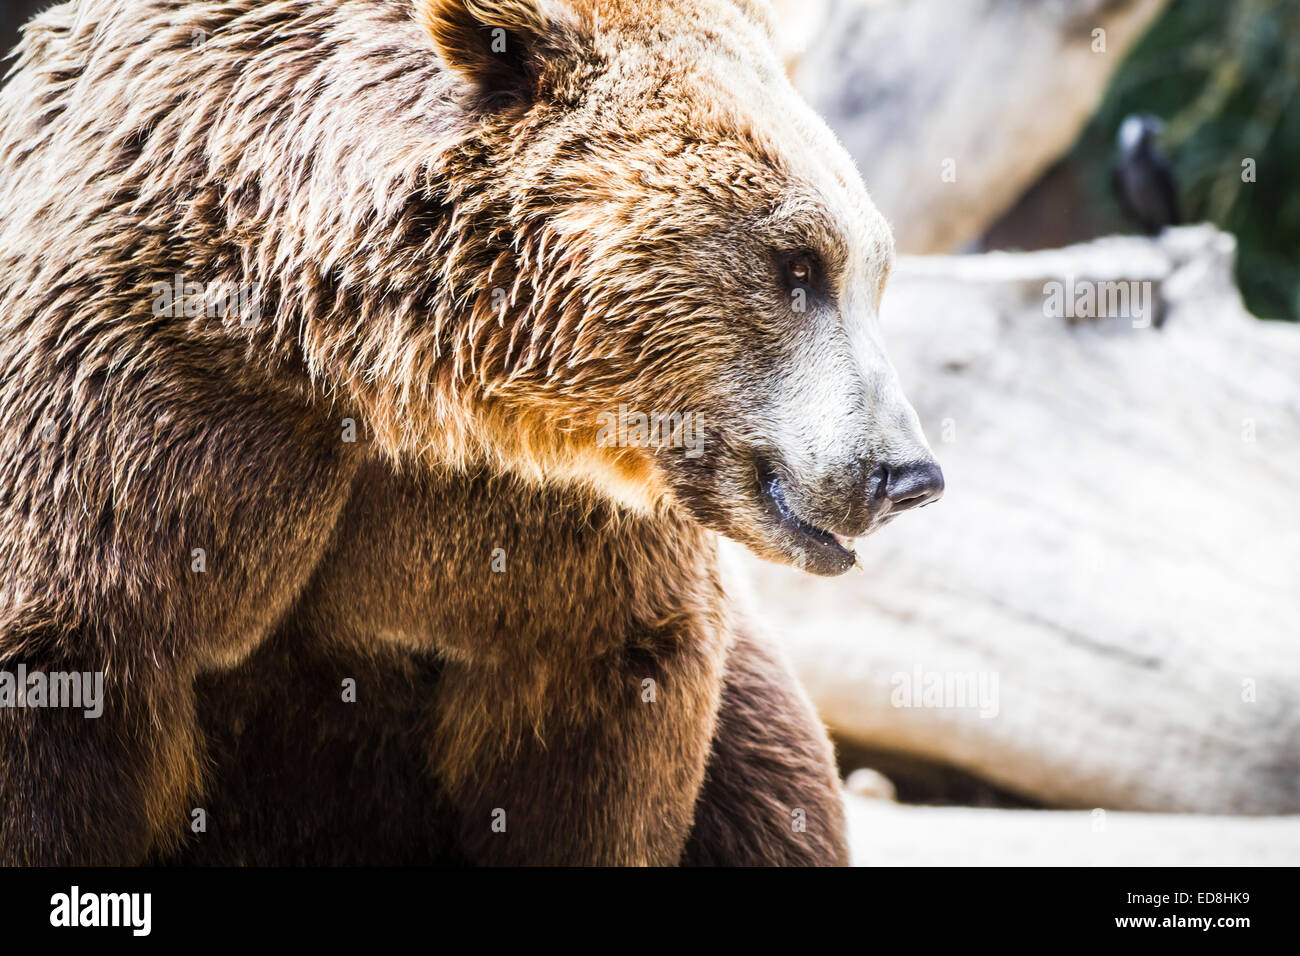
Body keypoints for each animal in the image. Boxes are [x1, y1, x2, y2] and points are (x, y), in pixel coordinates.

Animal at [0, 0, 942, 865]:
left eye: (874, 270)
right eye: (798, 265)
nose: (906, 473)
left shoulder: (540, 531)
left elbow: (592, 734)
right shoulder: (146, 416)